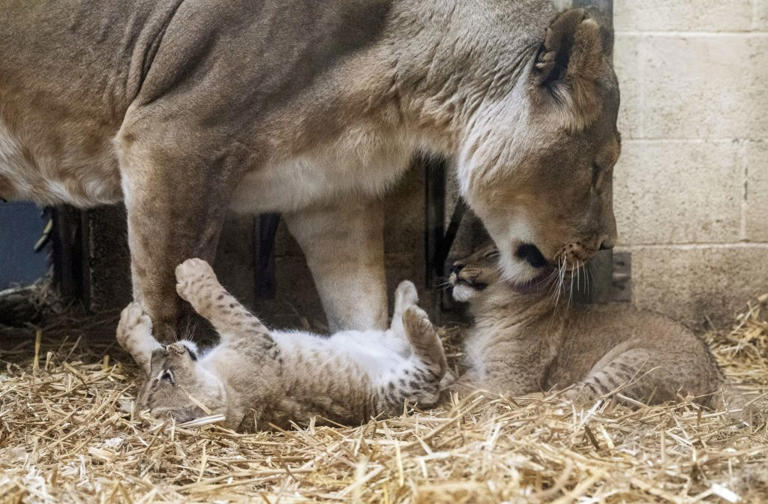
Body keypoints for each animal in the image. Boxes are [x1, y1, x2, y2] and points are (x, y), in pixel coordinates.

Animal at [1, 2, 619, 341]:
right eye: (598, 167)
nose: (608, 244)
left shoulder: (330, 193)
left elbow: (363, 300)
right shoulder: (168, 138)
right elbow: (167, 298)